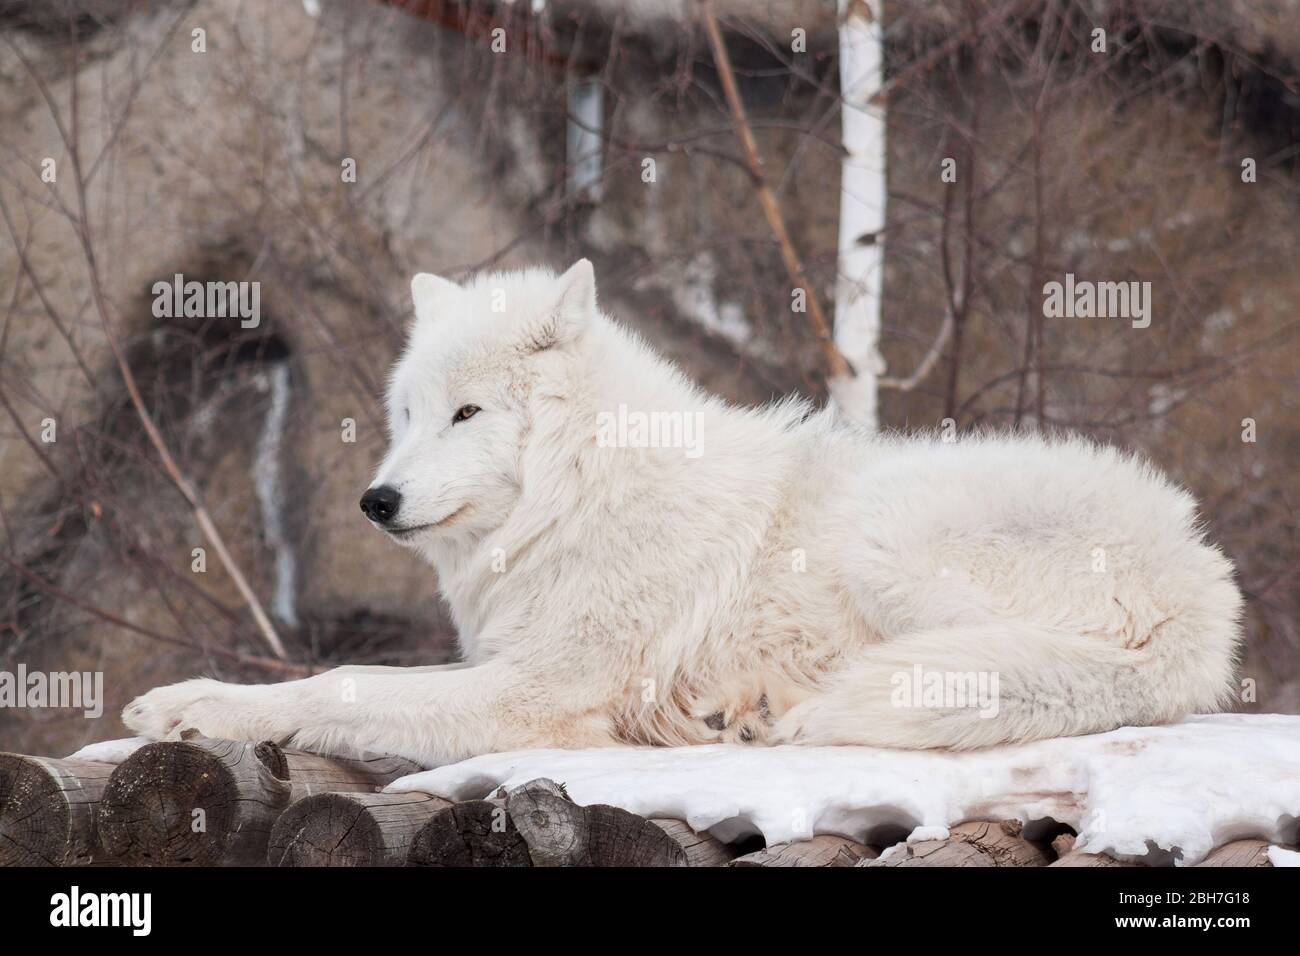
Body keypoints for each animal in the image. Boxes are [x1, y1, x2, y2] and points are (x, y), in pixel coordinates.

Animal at [124, 260, 1243, 765]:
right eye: (406, 415)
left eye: (467, 412)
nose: (375, 500)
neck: (580, 497)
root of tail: (1199, 581)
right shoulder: (511, 659)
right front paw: (186, 697)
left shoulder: (539, 694)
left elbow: (344, 682)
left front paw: (202, 709)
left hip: (885, 540)